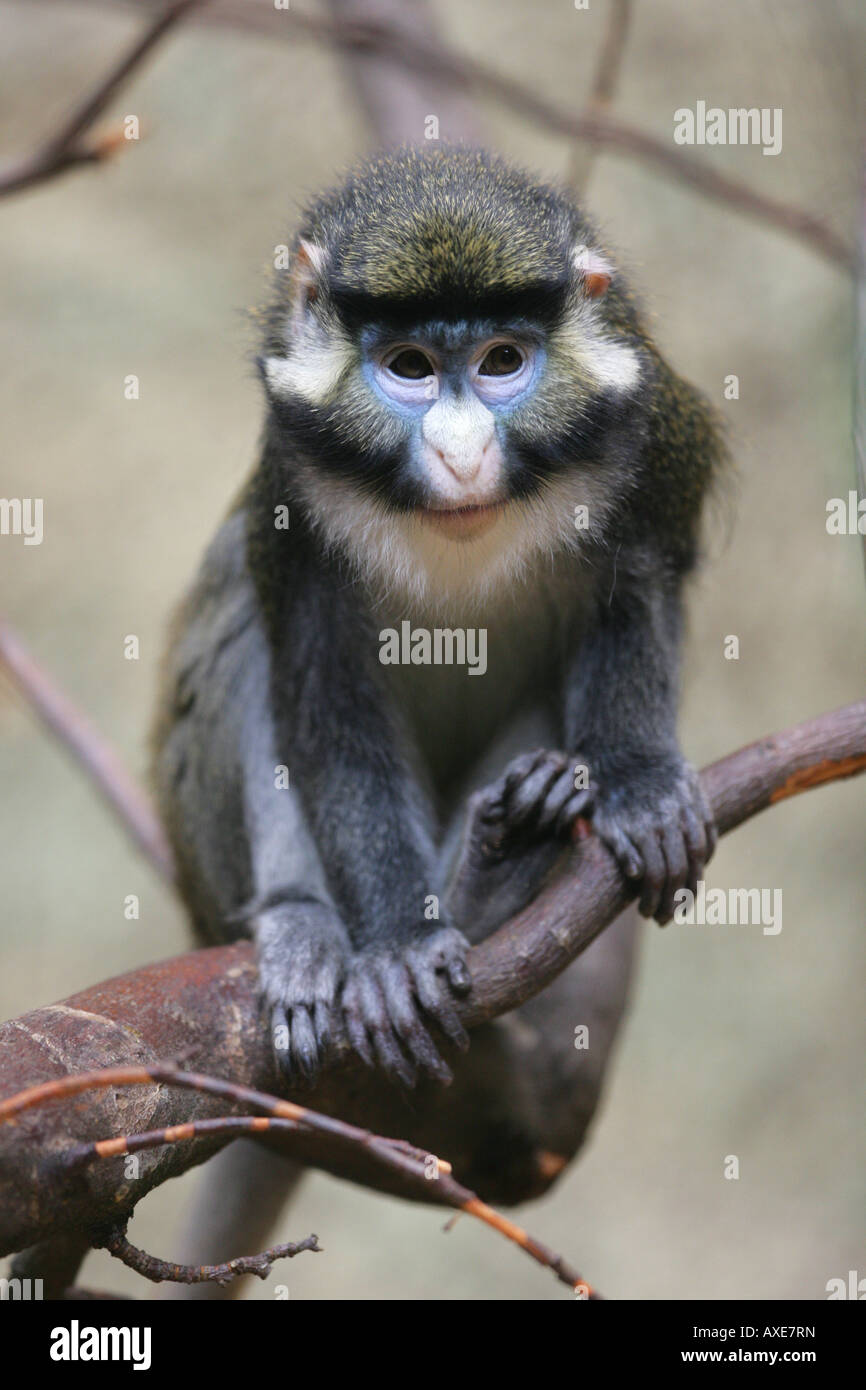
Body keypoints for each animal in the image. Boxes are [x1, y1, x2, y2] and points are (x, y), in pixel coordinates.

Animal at [151, 147, 723, 1239]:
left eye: (502, 361)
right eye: (410, 368)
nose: (461, 451)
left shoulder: (649, 440)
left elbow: (634, 598)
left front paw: (637, 783)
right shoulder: (291, 489)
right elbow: (326, 705)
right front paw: (400, 945)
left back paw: (498, 865)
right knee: (244, 622)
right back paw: (312, 925)